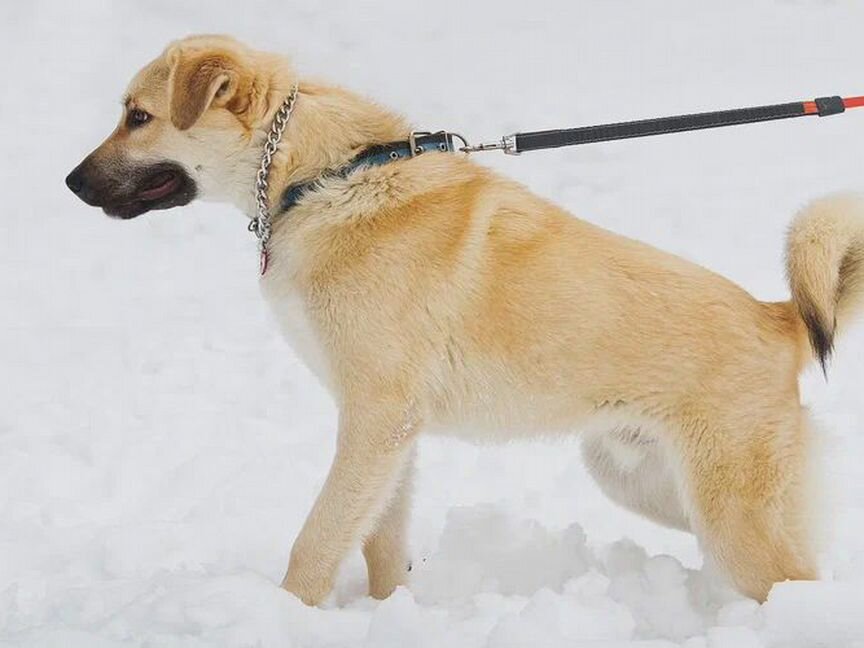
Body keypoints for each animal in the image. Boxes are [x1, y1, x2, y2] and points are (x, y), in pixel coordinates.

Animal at [67, 34, 864, 604]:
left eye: (139, 116)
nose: (70, 183)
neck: (321, 178)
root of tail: (778, 318)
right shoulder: (390, 435)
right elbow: (379, 542)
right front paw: (389, 614)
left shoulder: (375, 420)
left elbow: (317, 542)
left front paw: (285, 615)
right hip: (648, 485)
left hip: (728, 515)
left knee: (797, 585)